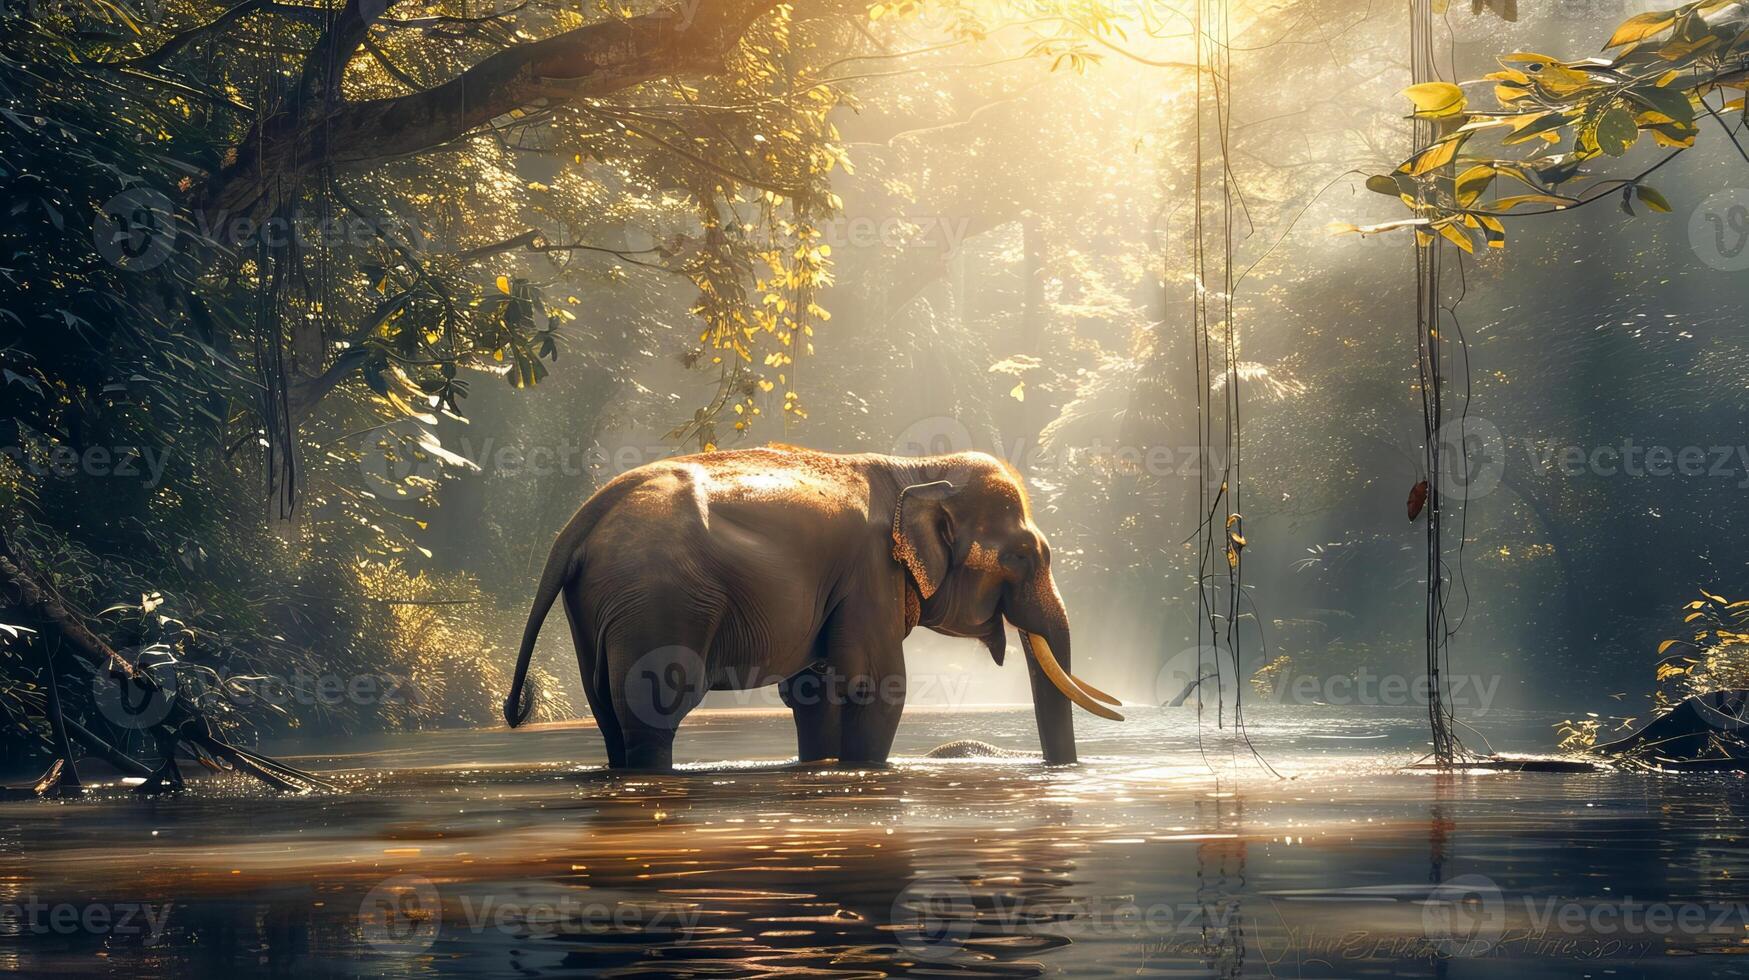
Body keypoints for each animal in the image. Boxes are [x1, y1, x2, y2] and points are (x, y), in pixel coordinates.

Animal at [503, 444, 1121, 770]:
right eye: (1022, 557)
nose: (1059, 767)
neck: (916, 469)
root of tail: (582, 518)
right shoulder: (870, 574)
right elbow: (878, 684)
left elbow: (813, 692)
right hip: (658, 601)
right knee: (654, 706)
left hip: (595, 606)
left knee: (605, 705)